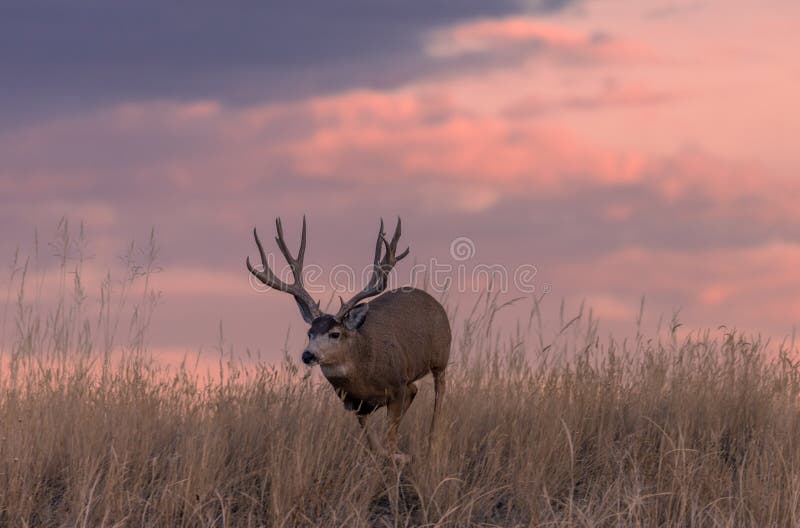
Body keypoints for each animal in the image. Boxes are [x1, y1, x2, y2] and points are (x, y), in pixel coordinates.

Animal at [246, 217, 451, 463]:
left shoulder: (397, 385)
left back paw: (432, 445)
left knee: (438, 399)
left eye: (335, 333)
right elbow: (377, 446)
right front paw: (394, 457)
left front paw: (401, 457)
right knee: (415, 390)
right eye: (309, 333)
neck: (365, 374)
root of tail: (433, 301)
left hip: (440, 359)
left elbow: (390, 442)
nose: (308, 354)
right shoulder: (354, 403)